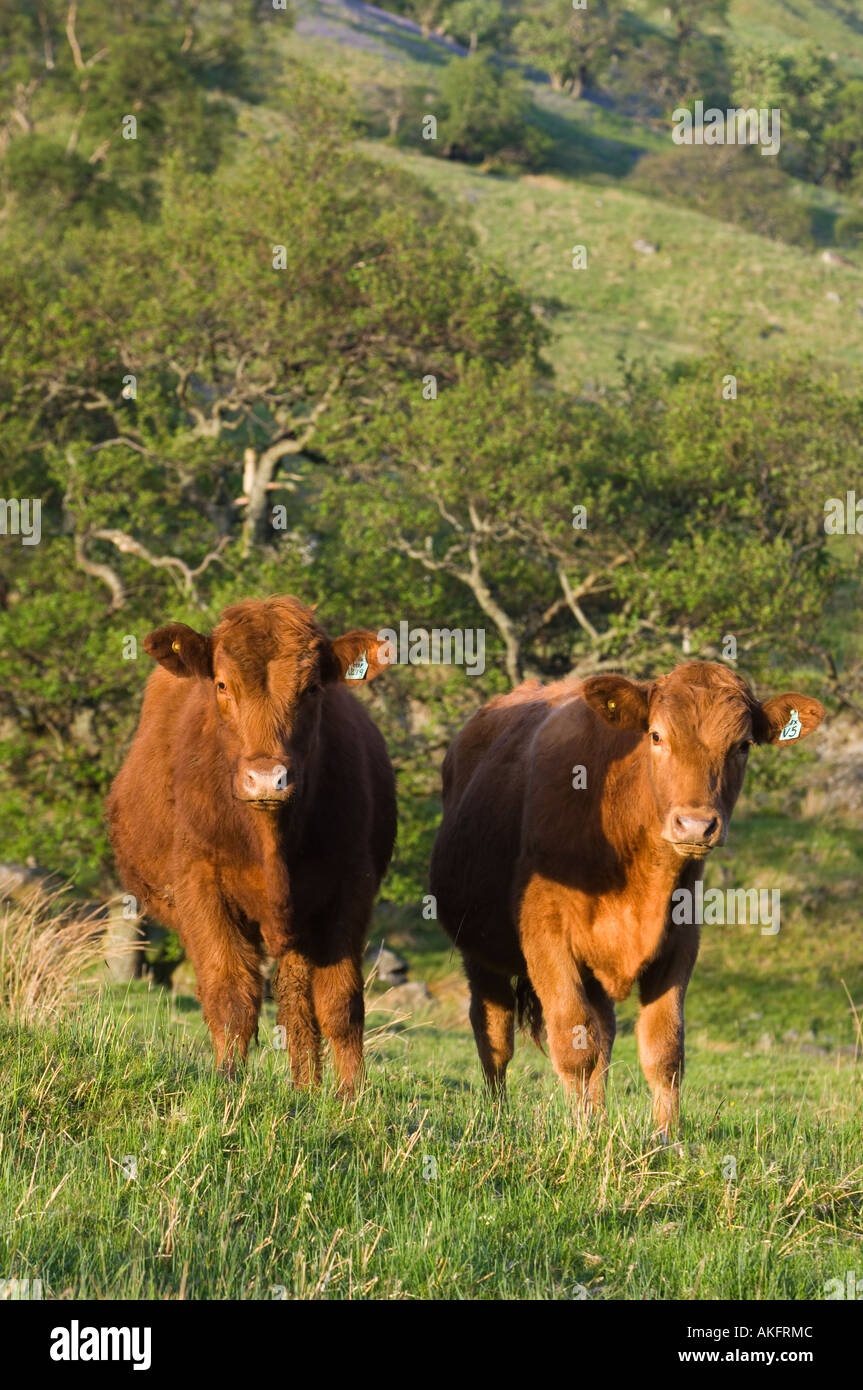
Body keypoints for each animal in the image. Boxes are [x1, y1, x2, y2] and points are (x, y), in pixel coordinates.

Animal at [107, 596, 396, 1089]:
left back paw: (306, 1089)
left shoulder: (349, 889)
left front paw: (349, 1095)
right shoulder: (201, 886)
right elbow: (230, 997)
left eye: (312, 688)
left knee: (298, 1002)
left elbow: (340, 1004)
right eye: (223, 684)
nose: (266, 778)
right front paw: (227, 1083)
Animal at [429, 662, 824, 1135]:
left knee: (603, 1033)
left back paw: (598, 1117)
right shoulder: (545, 935)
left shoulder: (679, 943)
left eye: (743, 745)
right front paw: (581, 1136)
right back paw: (498, 1115)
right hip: (478, 948)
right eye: (656, 735)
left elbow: (663, 1050)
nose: (695, 825)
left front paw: (665, 1136)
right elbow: (572, 1043)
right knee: (494, 1032)